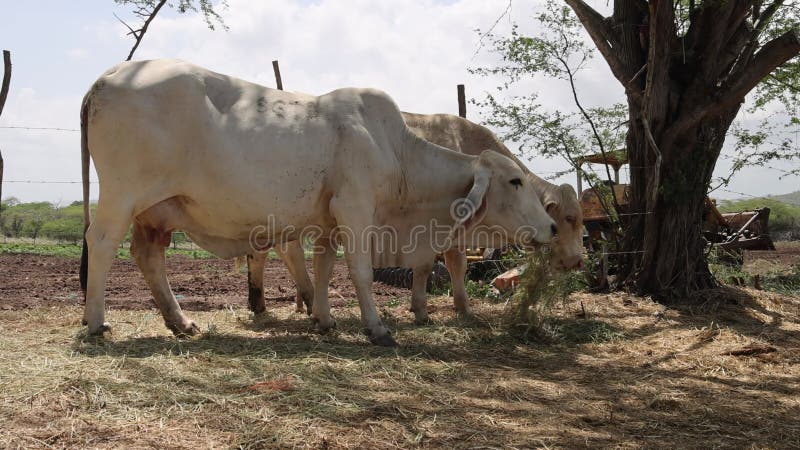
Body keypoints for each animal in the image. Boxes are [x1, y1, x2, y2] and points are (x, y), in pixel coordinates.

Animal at [244, 113, 584, 323]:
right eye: (569, 217)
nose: (578, 261)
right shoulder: (444, 228)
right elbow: (442, 265)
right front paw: (450, 308)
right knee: (275, 253)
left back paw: (285, 303)